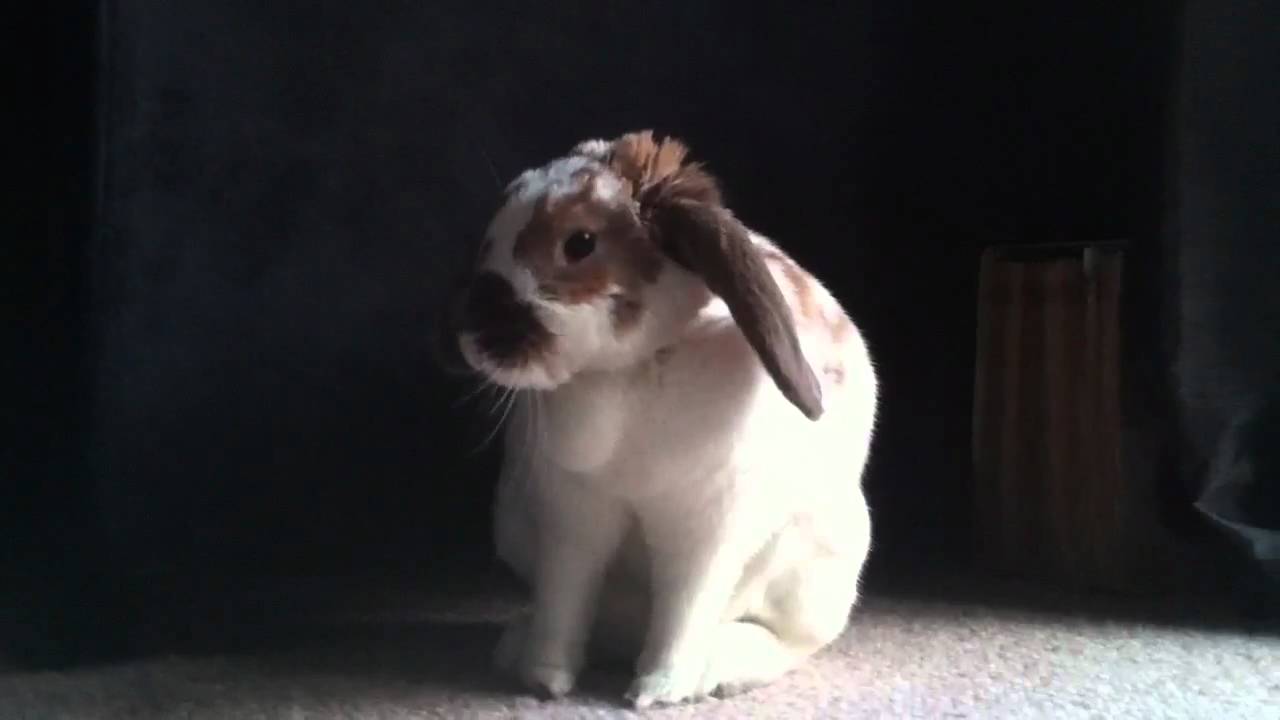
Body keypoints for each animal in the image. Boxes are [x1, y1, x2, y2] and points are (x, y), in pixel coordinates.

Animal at [442, 130, 878, 708]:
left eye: (580, 243)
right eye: (490, 238)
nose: (470, 333)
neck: (624, 372)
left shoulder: (707, 527)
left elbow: (684, 607)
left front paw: (656, 691)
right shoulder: (571, 514)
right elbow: (565, 594)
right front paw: (544, 678)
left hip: (817, 570)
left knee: (790, 640)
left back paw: (720, 667)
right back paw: (517, 645)